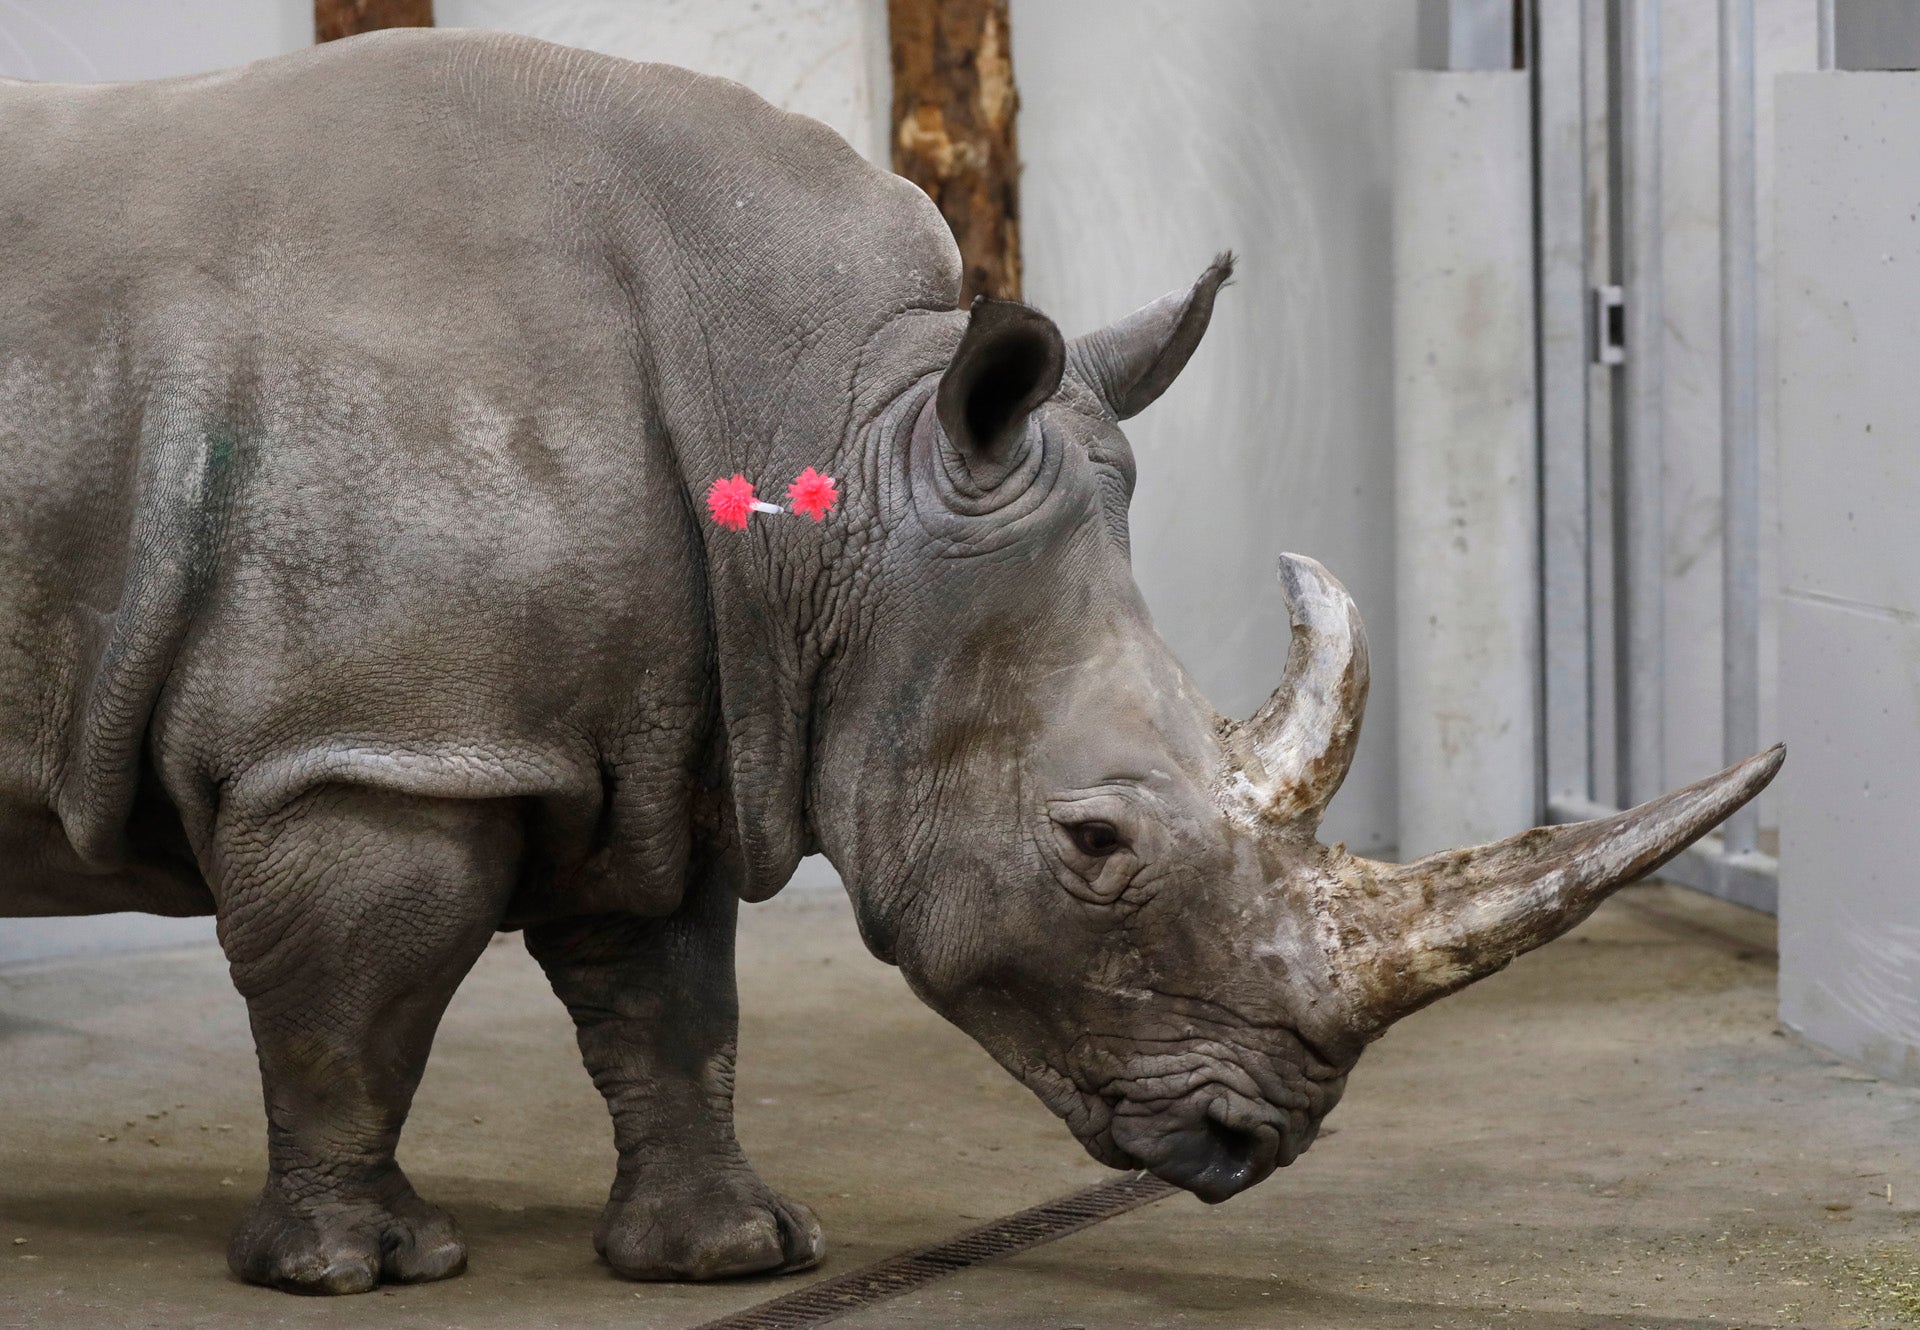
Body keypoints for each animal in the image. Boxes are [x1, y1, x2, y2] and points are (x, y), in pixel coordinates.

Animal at [0, 29, 1781, 1296]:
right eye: (1094, 839)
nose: (1256, 1135)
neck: (835, 441)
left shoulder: (666, 711)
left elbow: (670, 992)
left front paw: (729, 1253)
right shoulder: (372, 745)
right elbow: (354, 998)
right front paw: (355, 1269)